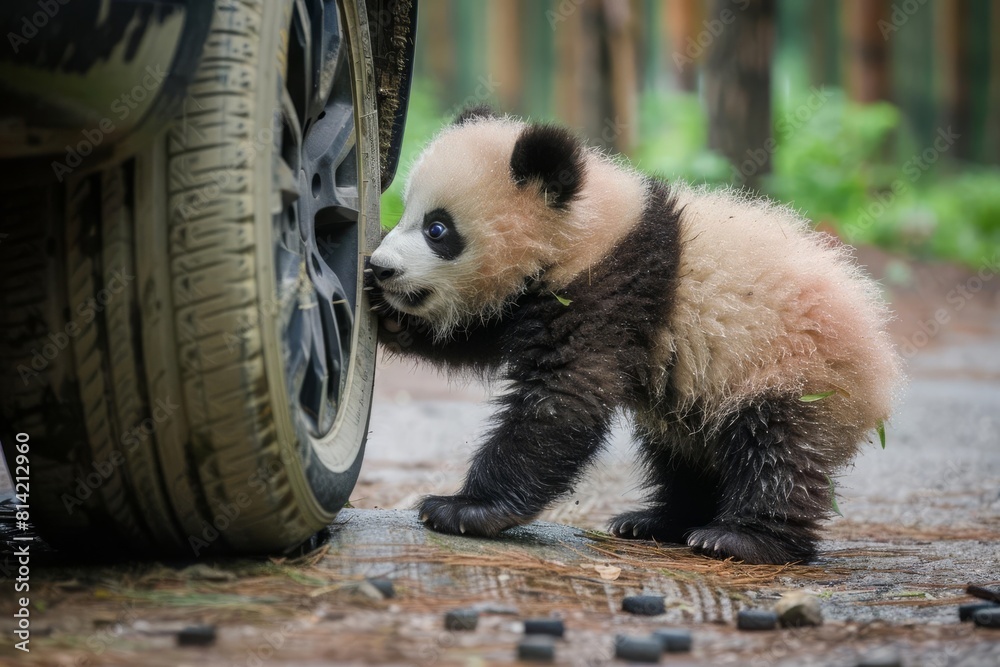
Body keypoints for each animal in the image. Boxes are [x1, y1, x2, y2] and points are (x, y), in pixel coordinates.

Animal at [365, 106, 903, 565]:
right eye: (405, 212)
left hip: (795, 368)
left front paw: (463, 508)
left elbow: (563, 399)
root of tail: (879, 358)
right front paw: (385, 313)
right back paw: (661, 522)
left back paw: (743, 538)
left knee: (777, 452)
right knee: (683, 454)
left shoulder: (609, 289)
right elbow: (478, 334)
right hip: (699, 398)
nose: (381, 267)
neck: (584, 228)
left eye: (438, 229)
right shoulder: (532, 298)